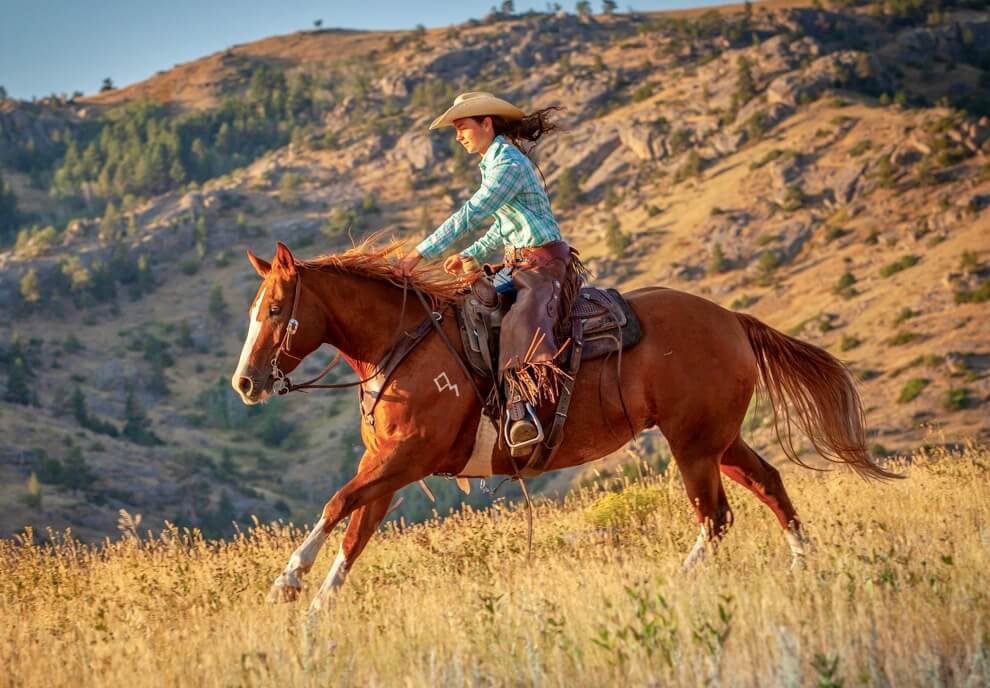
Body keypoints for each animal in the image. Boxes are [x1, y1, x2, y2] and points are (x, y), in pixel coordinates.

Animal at [230, 239, 897, 614]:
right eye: (252, 310)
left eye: (275, 309)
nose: (244, 383)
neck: (404, 342)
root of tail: (731, 318)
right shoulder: (388, 467)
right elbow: (354, 531)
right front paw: (317, 607)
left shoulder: (407, 458)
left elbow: (336, 503)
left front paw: (287, 582)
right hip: (720, 439)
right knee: (768, 485)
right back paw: (804, 566)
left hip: (693, 445)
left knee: (715, 515)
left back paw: (679, 581)